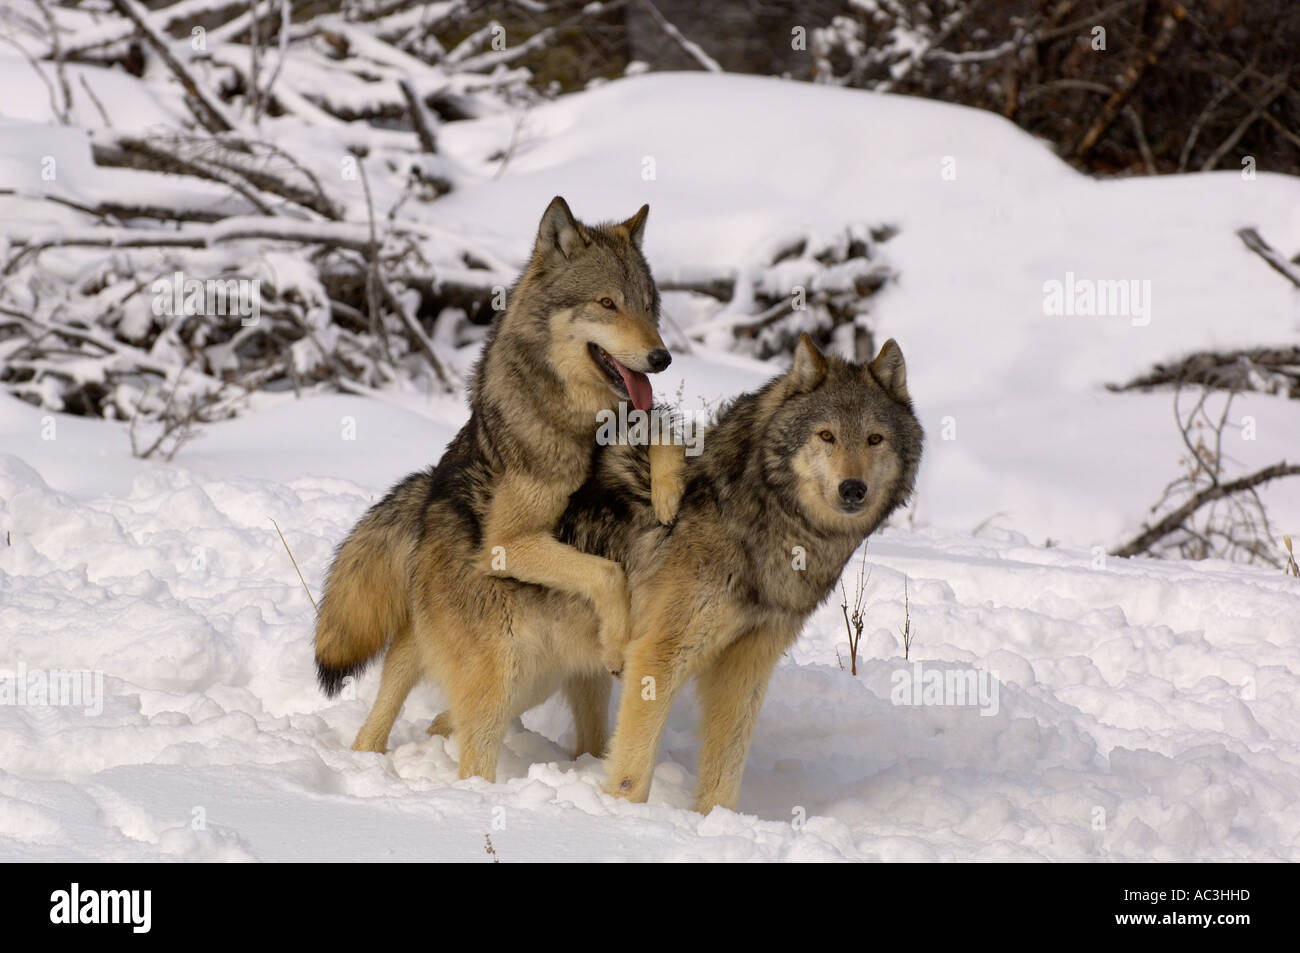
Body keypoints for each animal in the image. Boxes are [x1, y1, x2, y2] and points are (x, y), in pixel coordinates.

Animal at [313, 196, 683, 777]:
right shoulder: (508, 545)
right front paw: (618, 640)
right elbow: (606, 573)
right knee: (419, 722)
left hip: (531, 682)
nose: (661, 358)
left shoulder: (631, 423)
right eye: (607, 303)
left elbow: (665, 431)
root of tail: (426, 494)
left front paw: (668, 491)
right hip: (497, 678)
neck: (578, 426)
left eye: (648, 307)